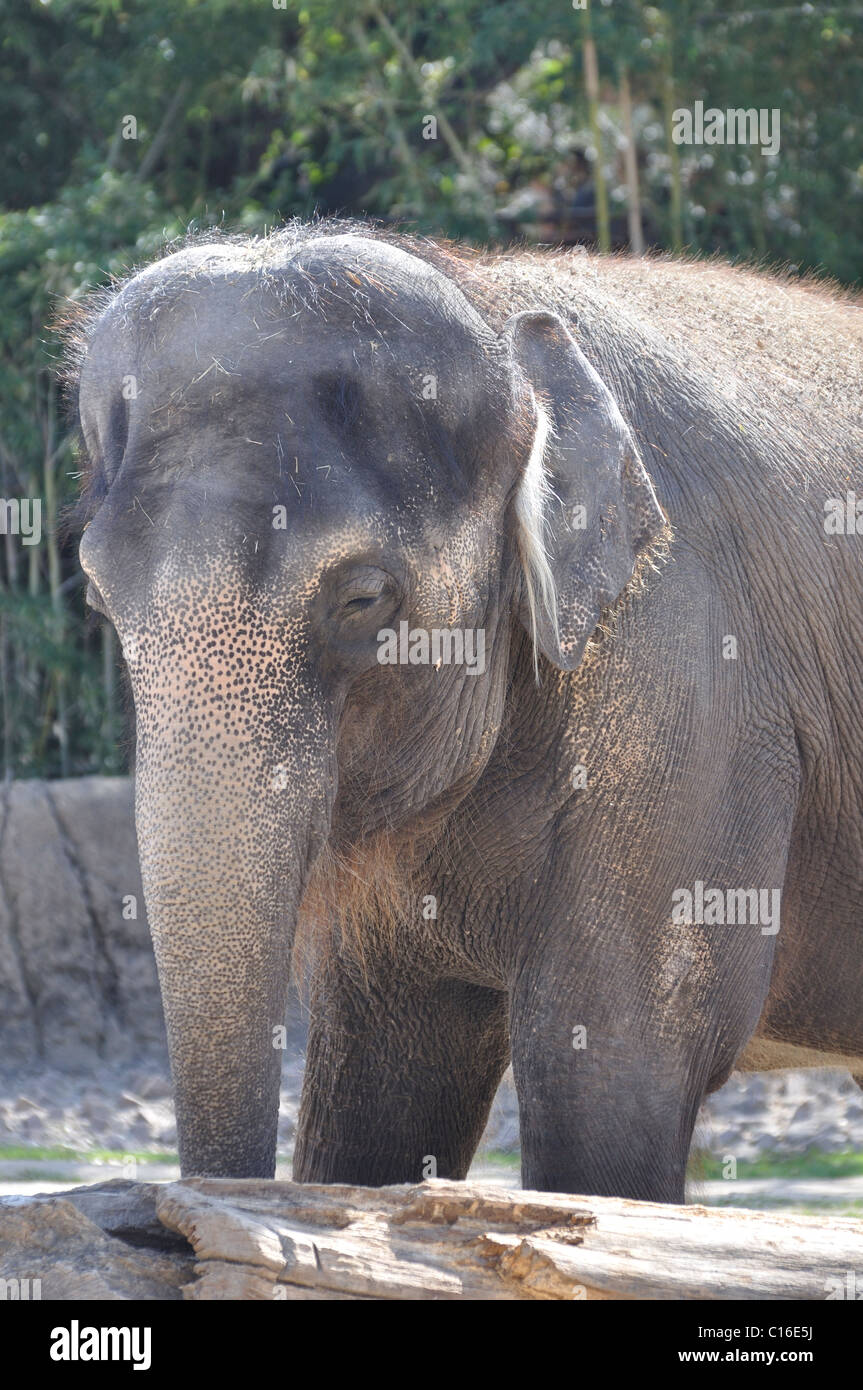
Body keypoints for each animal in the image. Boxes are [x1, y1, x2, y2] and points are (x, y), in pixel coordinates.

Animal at [67, 220, 863, 1202]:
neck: (498, 312)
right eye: (100, 600)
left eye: (363, 599)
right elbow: (382, 1088)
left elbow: (608, 1079)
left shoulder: (687, 688)